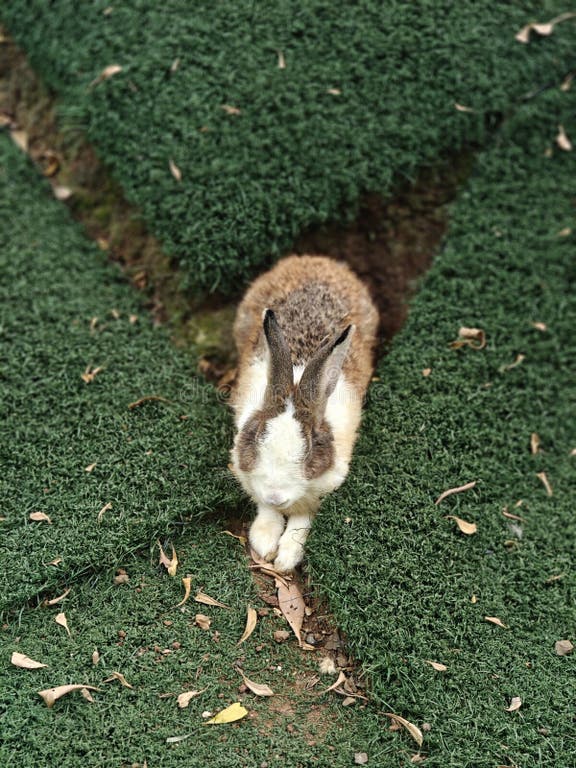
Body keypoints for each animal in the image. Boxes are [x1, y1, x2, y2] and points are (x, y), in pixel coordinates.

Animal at [230, 254, 378, 573]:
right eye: (257, 435)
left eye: (309, 448)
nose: (276, 494)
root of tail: (316, 260)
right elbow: (266, 509)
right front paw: (264, 541)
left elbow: (302, 520)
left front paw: (287, 556)